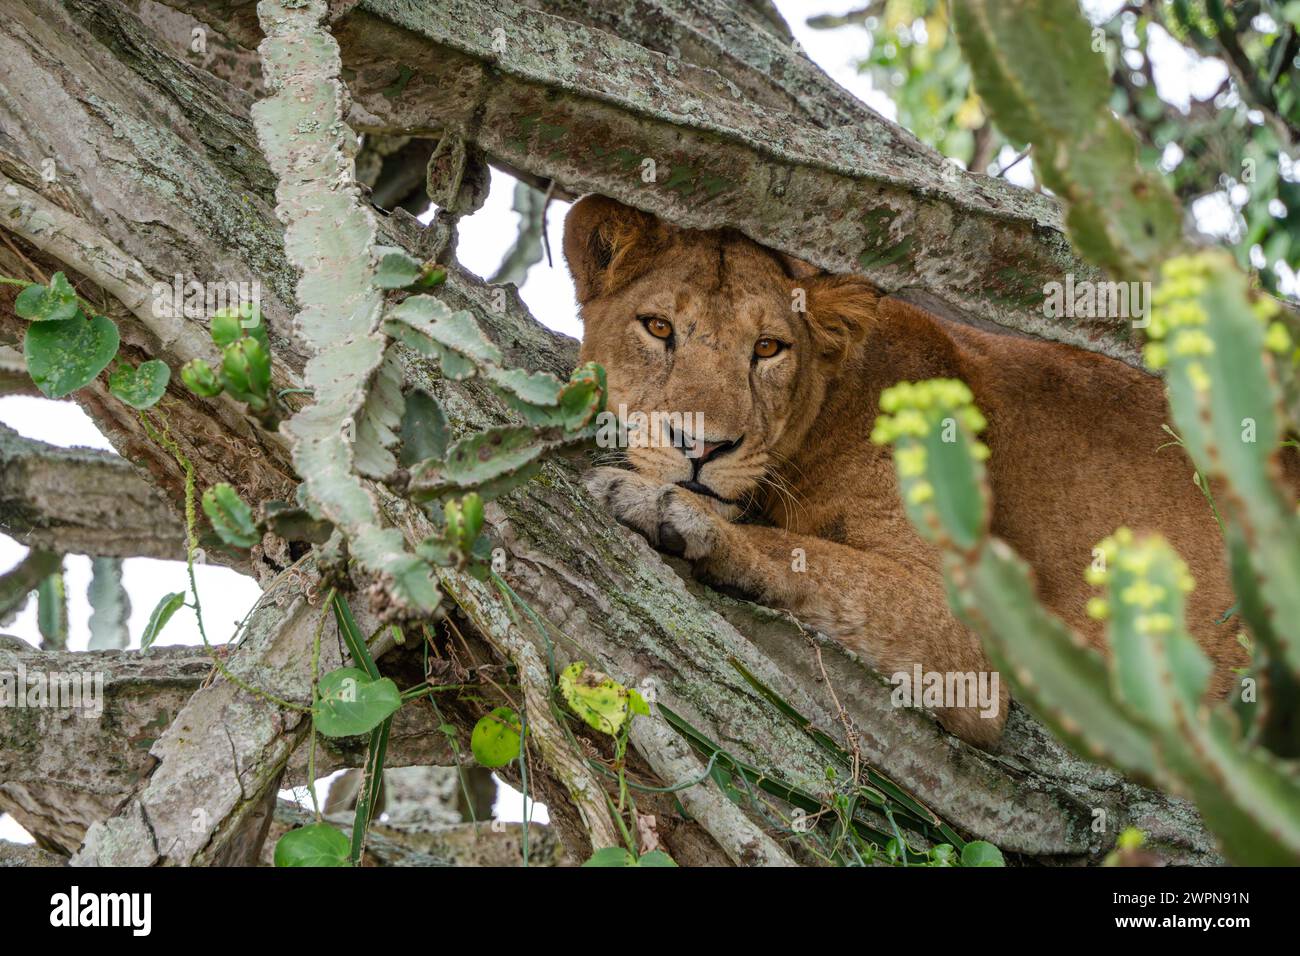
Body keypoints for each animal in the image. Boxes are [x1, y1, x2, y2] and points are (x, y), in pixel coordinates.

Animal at [564, 194, 1282, 749]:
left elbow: (799, 553)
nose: (703, 446)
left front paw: (662, 506)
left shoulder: (967, 633)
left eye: (767, 348)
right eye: (658, 328)